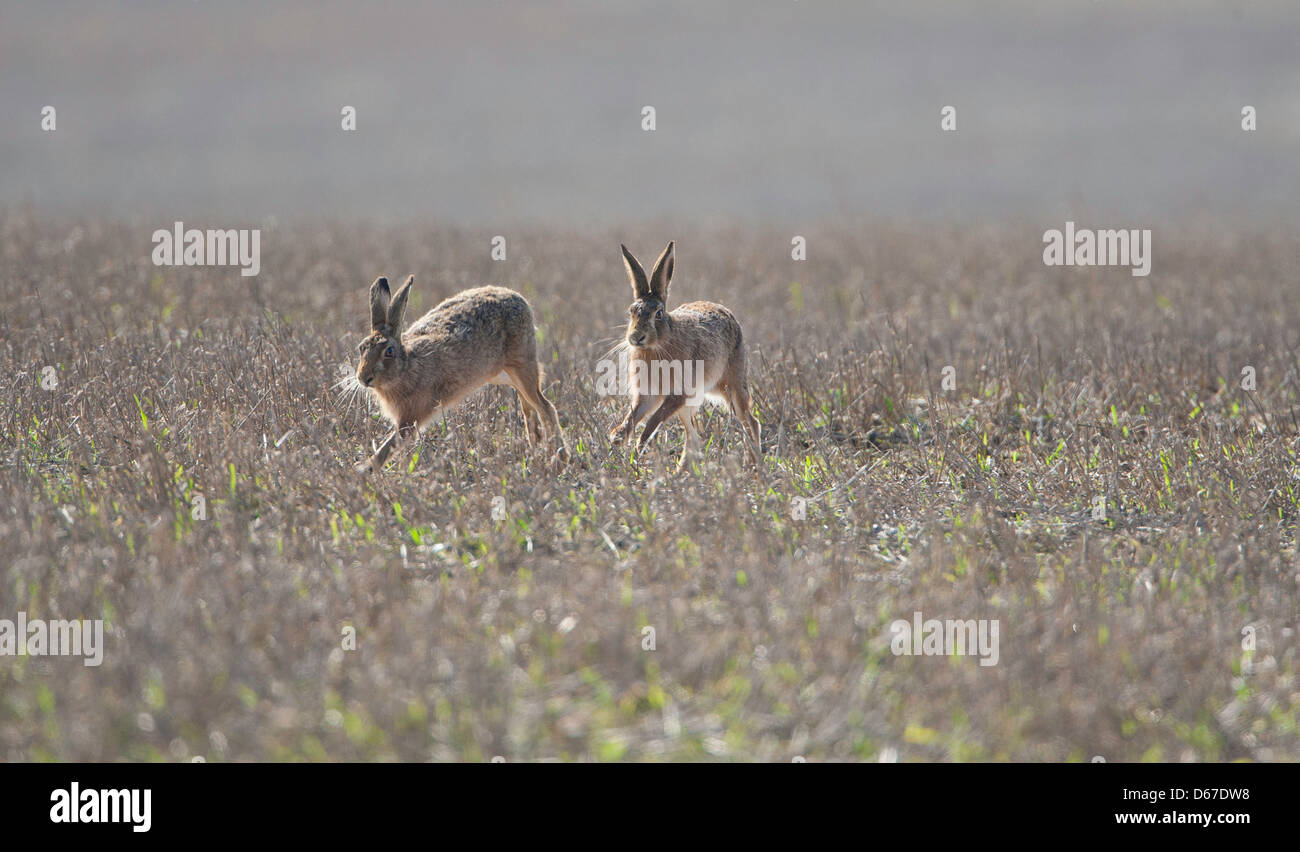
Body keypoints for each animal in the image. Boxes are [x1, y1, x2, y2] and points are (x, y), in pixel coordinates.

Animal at [353, 275, 567, 473]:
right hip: (504, 374)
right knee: (529, 407)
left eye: (388, 352)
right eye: (361, 348)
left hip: (521, 364)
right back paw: (536, 451)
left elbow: (390, 446)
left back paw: (560, 461)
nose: (363, 378)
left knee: (546, 407)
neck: (407, 366)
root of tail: (516, 296)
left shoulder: (410, 417)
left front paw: (364, 470)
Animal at [607, 242, 761, 472]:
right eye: (631, 312)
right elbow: (635, 414)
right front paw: (618, 435)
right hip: (690, 406)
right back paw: (680, 473)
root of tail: (727, 311)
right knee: (693, 437)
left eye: (658, 313)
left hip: (732, 386)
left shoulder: (679, 393)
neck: (657, 346)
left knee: (750, 422)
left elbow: (653, 420)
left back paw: (756, 465)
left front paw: (640, 444)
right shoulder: (648, 394)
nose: (636, 337)